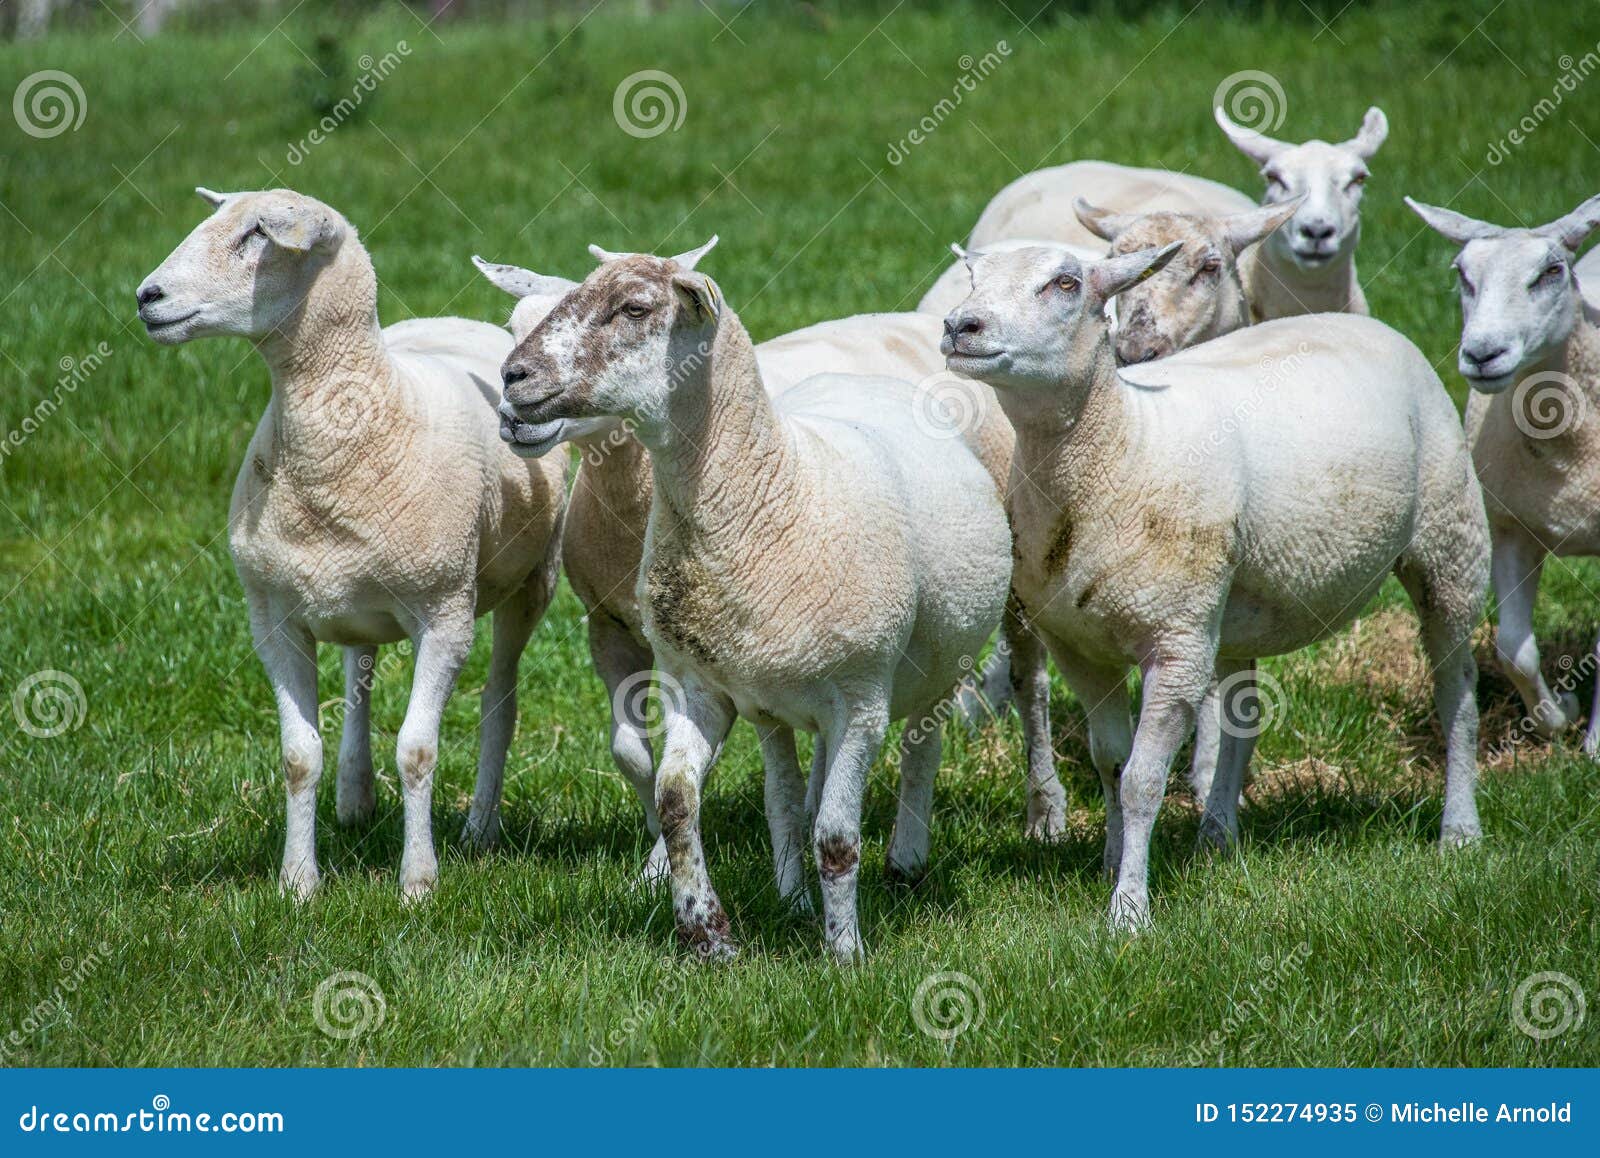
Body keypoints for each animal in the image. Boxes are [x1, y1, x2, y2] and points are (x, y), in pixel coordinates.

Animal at [136, 188, 568, 900]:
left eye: (258, 234)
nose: (147, 296)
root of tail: (454, 318)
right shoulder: (272, 619)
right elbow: (296, 756)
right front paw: (297, 882)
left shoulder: (444, 616)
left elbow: (418, 751)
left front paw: (418, 882)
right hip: (348, 590)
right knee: (359, 673)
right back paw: (355, 797)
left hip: (530, 584)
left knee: (498, 701)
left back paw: (480, 826)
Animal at [495, 239, 1012, 962]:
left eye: (635, 308)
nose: (512, 378)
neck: (772, 489)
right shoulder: (698, 686)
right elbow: (676, 799)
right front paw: (705, 931)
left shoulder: (861, 702)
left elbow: (838, 838)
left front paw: (845, 956)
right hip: (776, 691)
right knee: (788, 794)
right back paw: (792, 897)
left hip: (936, 661)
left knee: (920, 748)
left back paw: (905, 860)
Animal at [942, 243, 1489, 929]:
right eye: (973, 276)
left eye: (1065, 283)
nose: (959, 326)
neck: (1122, 444)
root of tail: (1364, 323)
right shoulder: (1081, 647)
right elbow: (1109, 762)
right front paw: (1111, 863)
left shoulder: (1177, 643)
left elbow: (1142, 780)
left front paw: (1129, 910)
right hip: (1232, 604)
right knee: (1243, 717)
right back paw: (1217, 834)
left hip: (1450, 539)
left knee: (1457, 690)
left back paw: (1460, 830)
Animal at [1407, 194, 1600, 750]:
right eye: (1462, 274)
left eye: (1552, 271)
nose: (1481, 353)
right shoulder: (1511, 527)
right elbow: (1515, 650)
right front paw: (1558, 716)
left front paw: (1595, 746)